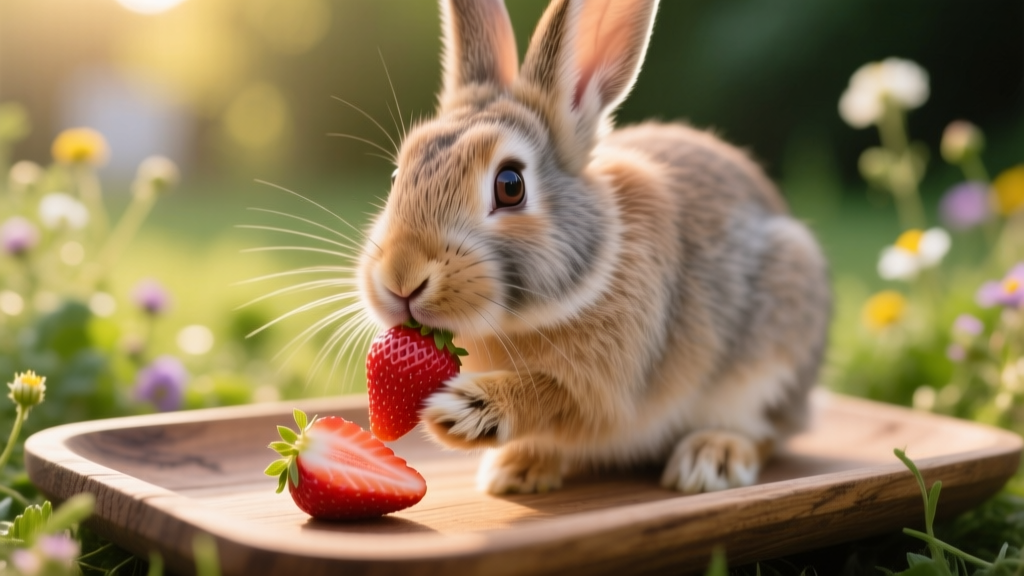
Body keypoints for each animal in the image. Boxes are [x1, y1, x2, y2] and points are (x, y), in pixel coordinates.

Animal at [356, 0, 831, 495]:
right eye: (397, 177)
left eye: (510, 185)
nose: (401, 278)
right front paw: (510, 467)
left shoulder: (607, 391)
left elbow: (554, 397)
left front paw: (462, 413)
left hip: (773, 349)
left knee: (766, 431)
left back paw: (711, 459)